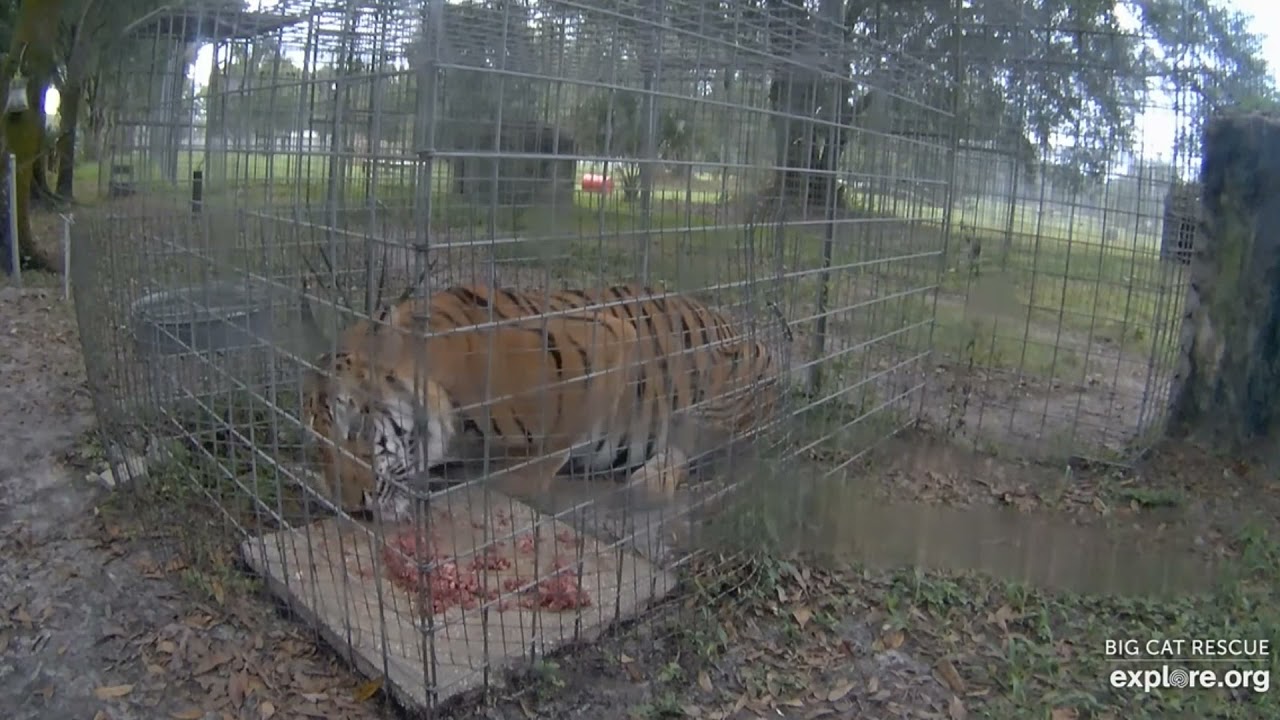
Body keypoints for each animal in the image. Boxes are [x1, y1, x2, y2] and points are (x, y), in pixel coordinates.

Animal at [300, 283, 790, 523]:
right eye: (319, 451)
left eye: (357, 428)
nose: (353, 507)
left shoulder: (609, 342)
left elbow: (523, 472)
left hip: (718, 396)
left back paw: (648, 480)